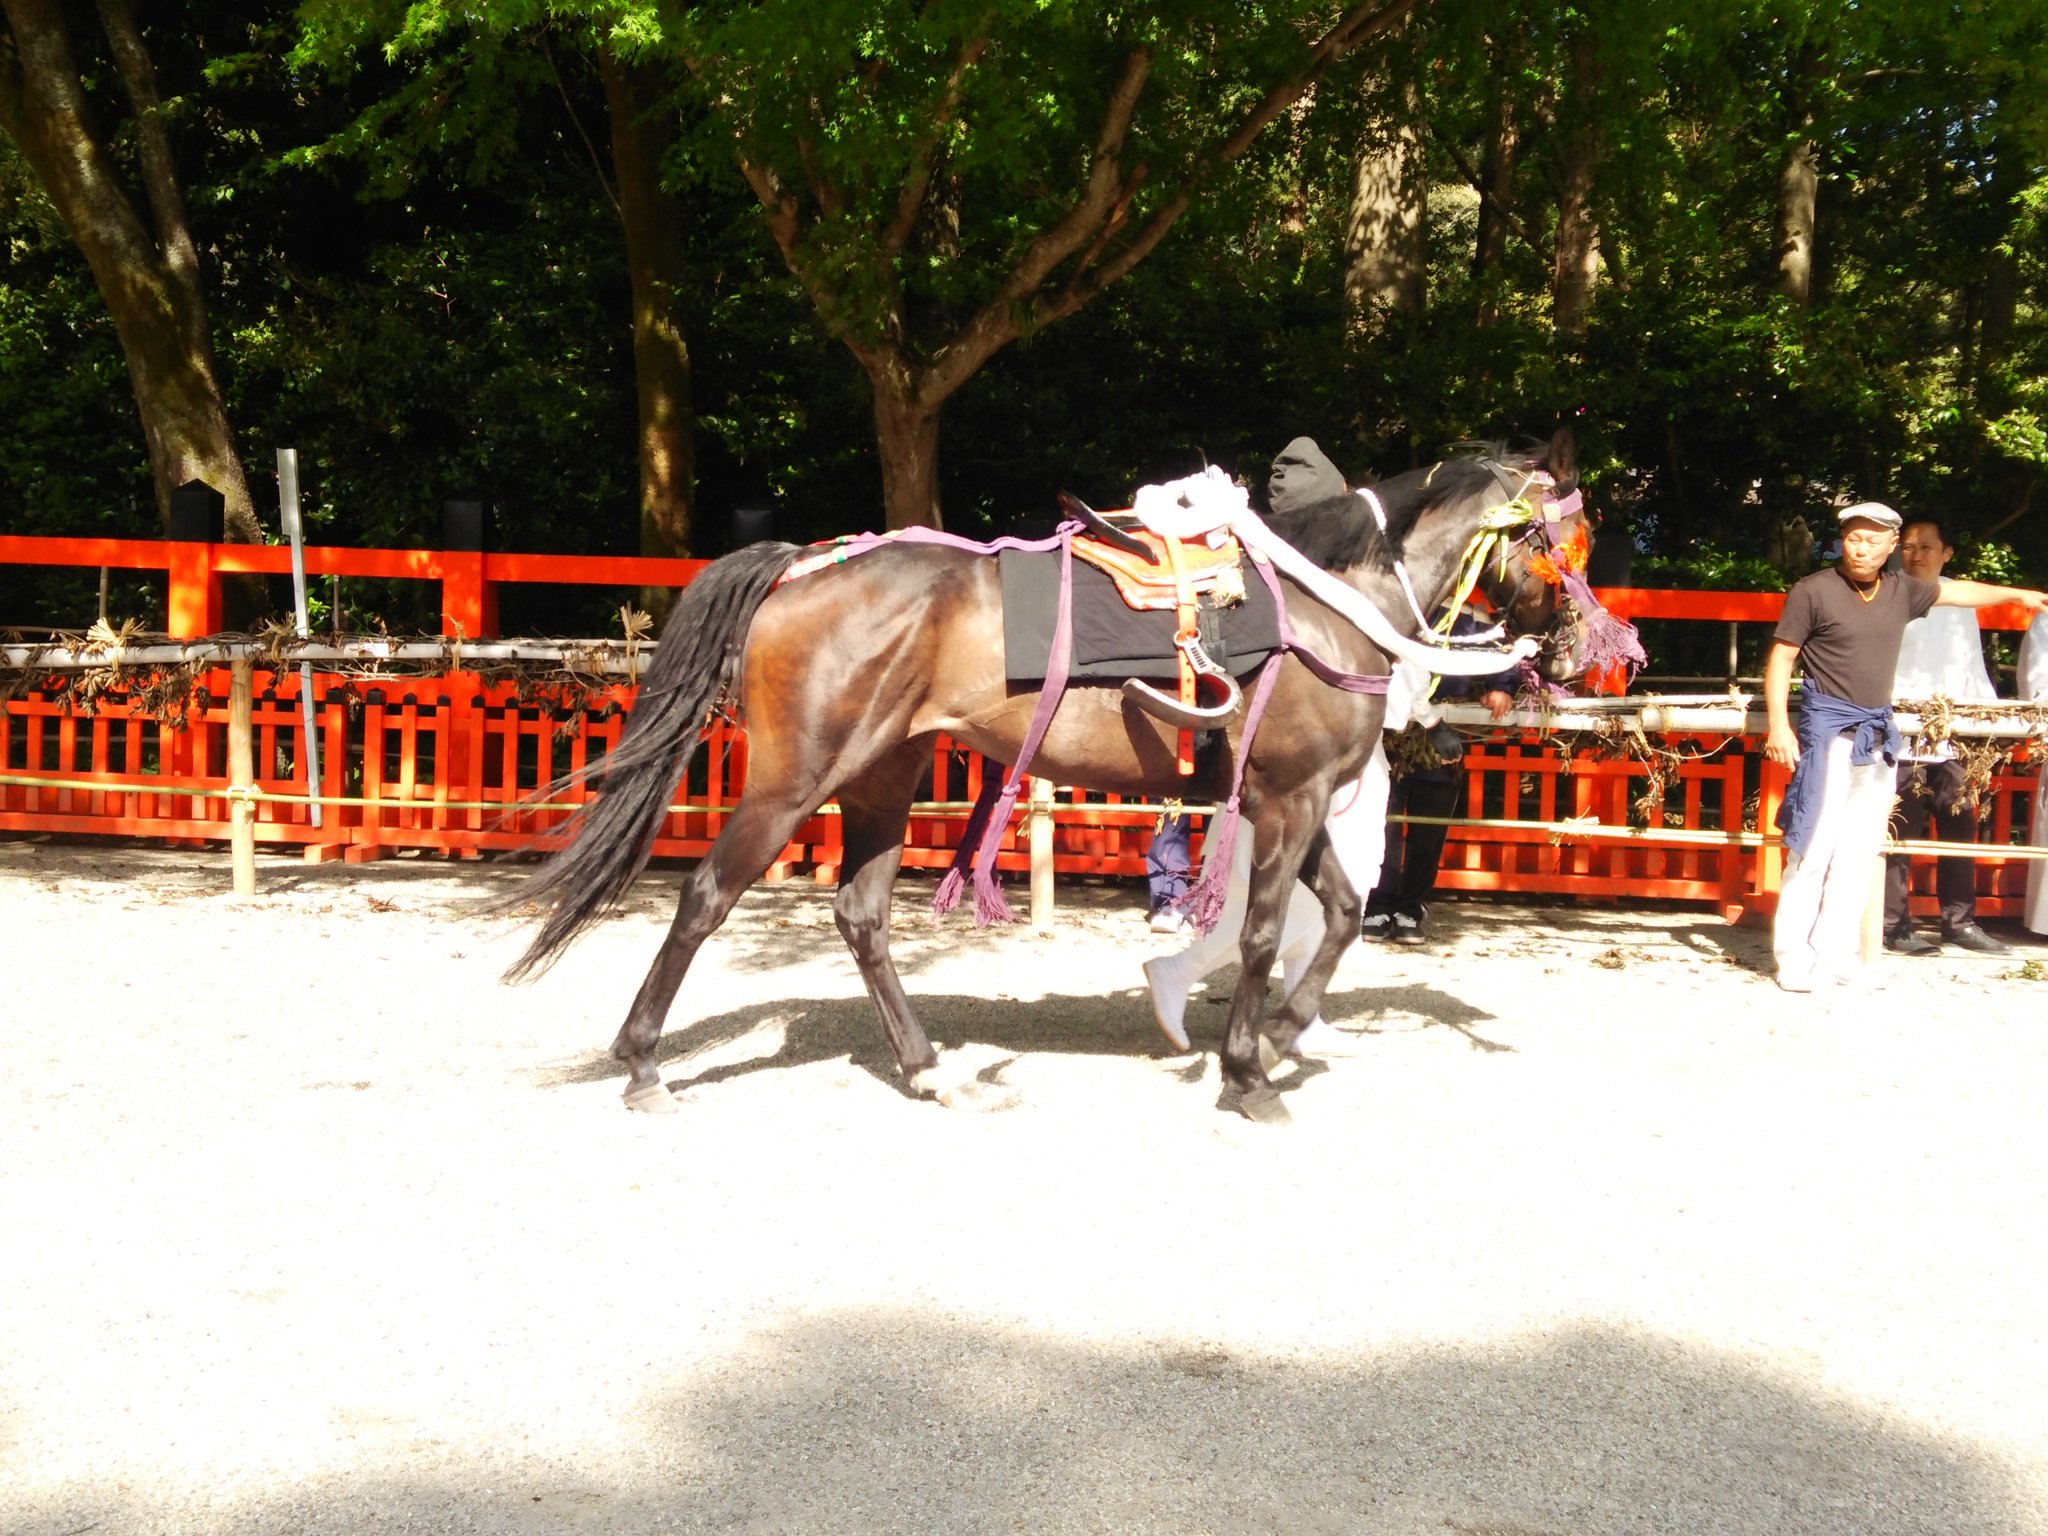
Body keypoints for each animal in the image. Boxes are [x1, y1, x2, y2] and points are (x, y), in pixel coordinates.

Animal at [506, 430, 1595, 1121]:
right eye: (1563, 541)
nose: (1585, 646)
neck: (1330, 606)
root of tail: (802, 565)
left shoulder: (1309, 798)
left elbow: (1338, 914)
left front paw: (1283, 1032)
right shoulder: (1287, 799)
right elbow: (1258, 934)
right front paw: (1248, 1073)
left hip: (883, 774)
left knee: (859, 916)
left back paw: (925, 1068)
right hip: (793, 781)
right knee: (703, 897)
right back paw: (643, 1063)